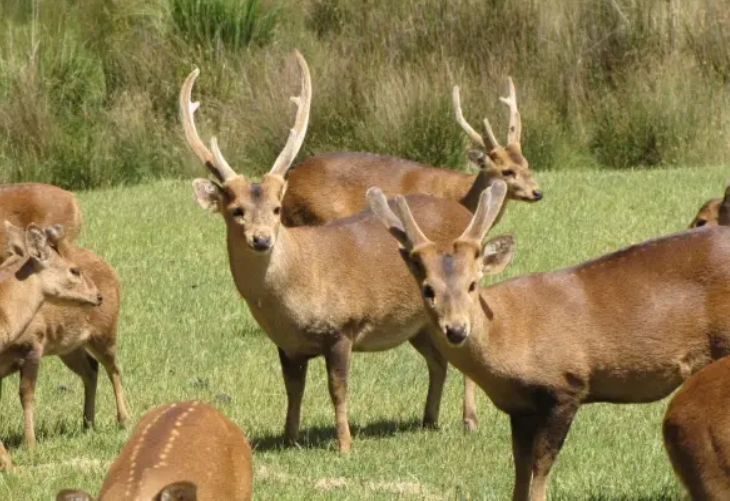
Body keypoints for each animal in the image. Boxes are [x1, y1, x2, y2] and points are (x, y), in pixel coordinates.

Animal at [0, 224, 129, 449]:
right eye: (74, 270)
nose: (98, 295)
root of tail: (111, 269)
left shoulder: (34, 343)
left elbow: (27, 394)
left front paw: (30, 444)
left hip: (105, 330)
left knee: (113, 368)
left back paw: (123, 420)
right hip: (69, 345)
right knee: (91, 369)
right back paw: (88, 423)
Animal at [180, 51, 484, 452]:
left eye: (276, 209)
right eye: (236, 211)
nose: (261, 240)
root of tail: (465, 214)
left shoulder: (342, 327)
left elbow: (337, 389)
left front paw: (344, 443)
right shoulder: (287, 344)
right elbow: (293, 390)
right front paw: (289, 437)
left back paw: (469, 420)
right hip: (420, 322)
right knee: (438, 361)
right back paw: (428, 419)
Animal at [281, 77, 542, 227]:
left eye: (527, 165)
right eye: (506, 171)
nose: (538, 192)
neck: (460, 195)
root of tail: (288, 180)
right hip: (318, 215)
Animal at [368, 180, 730, 501]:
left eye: (473, 284)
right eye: (427, 289)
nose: (456, 330)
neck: (509, 333)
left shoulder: (566, 385)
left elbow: (542, 465)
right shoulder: (519, 406)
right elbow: (520, 465)